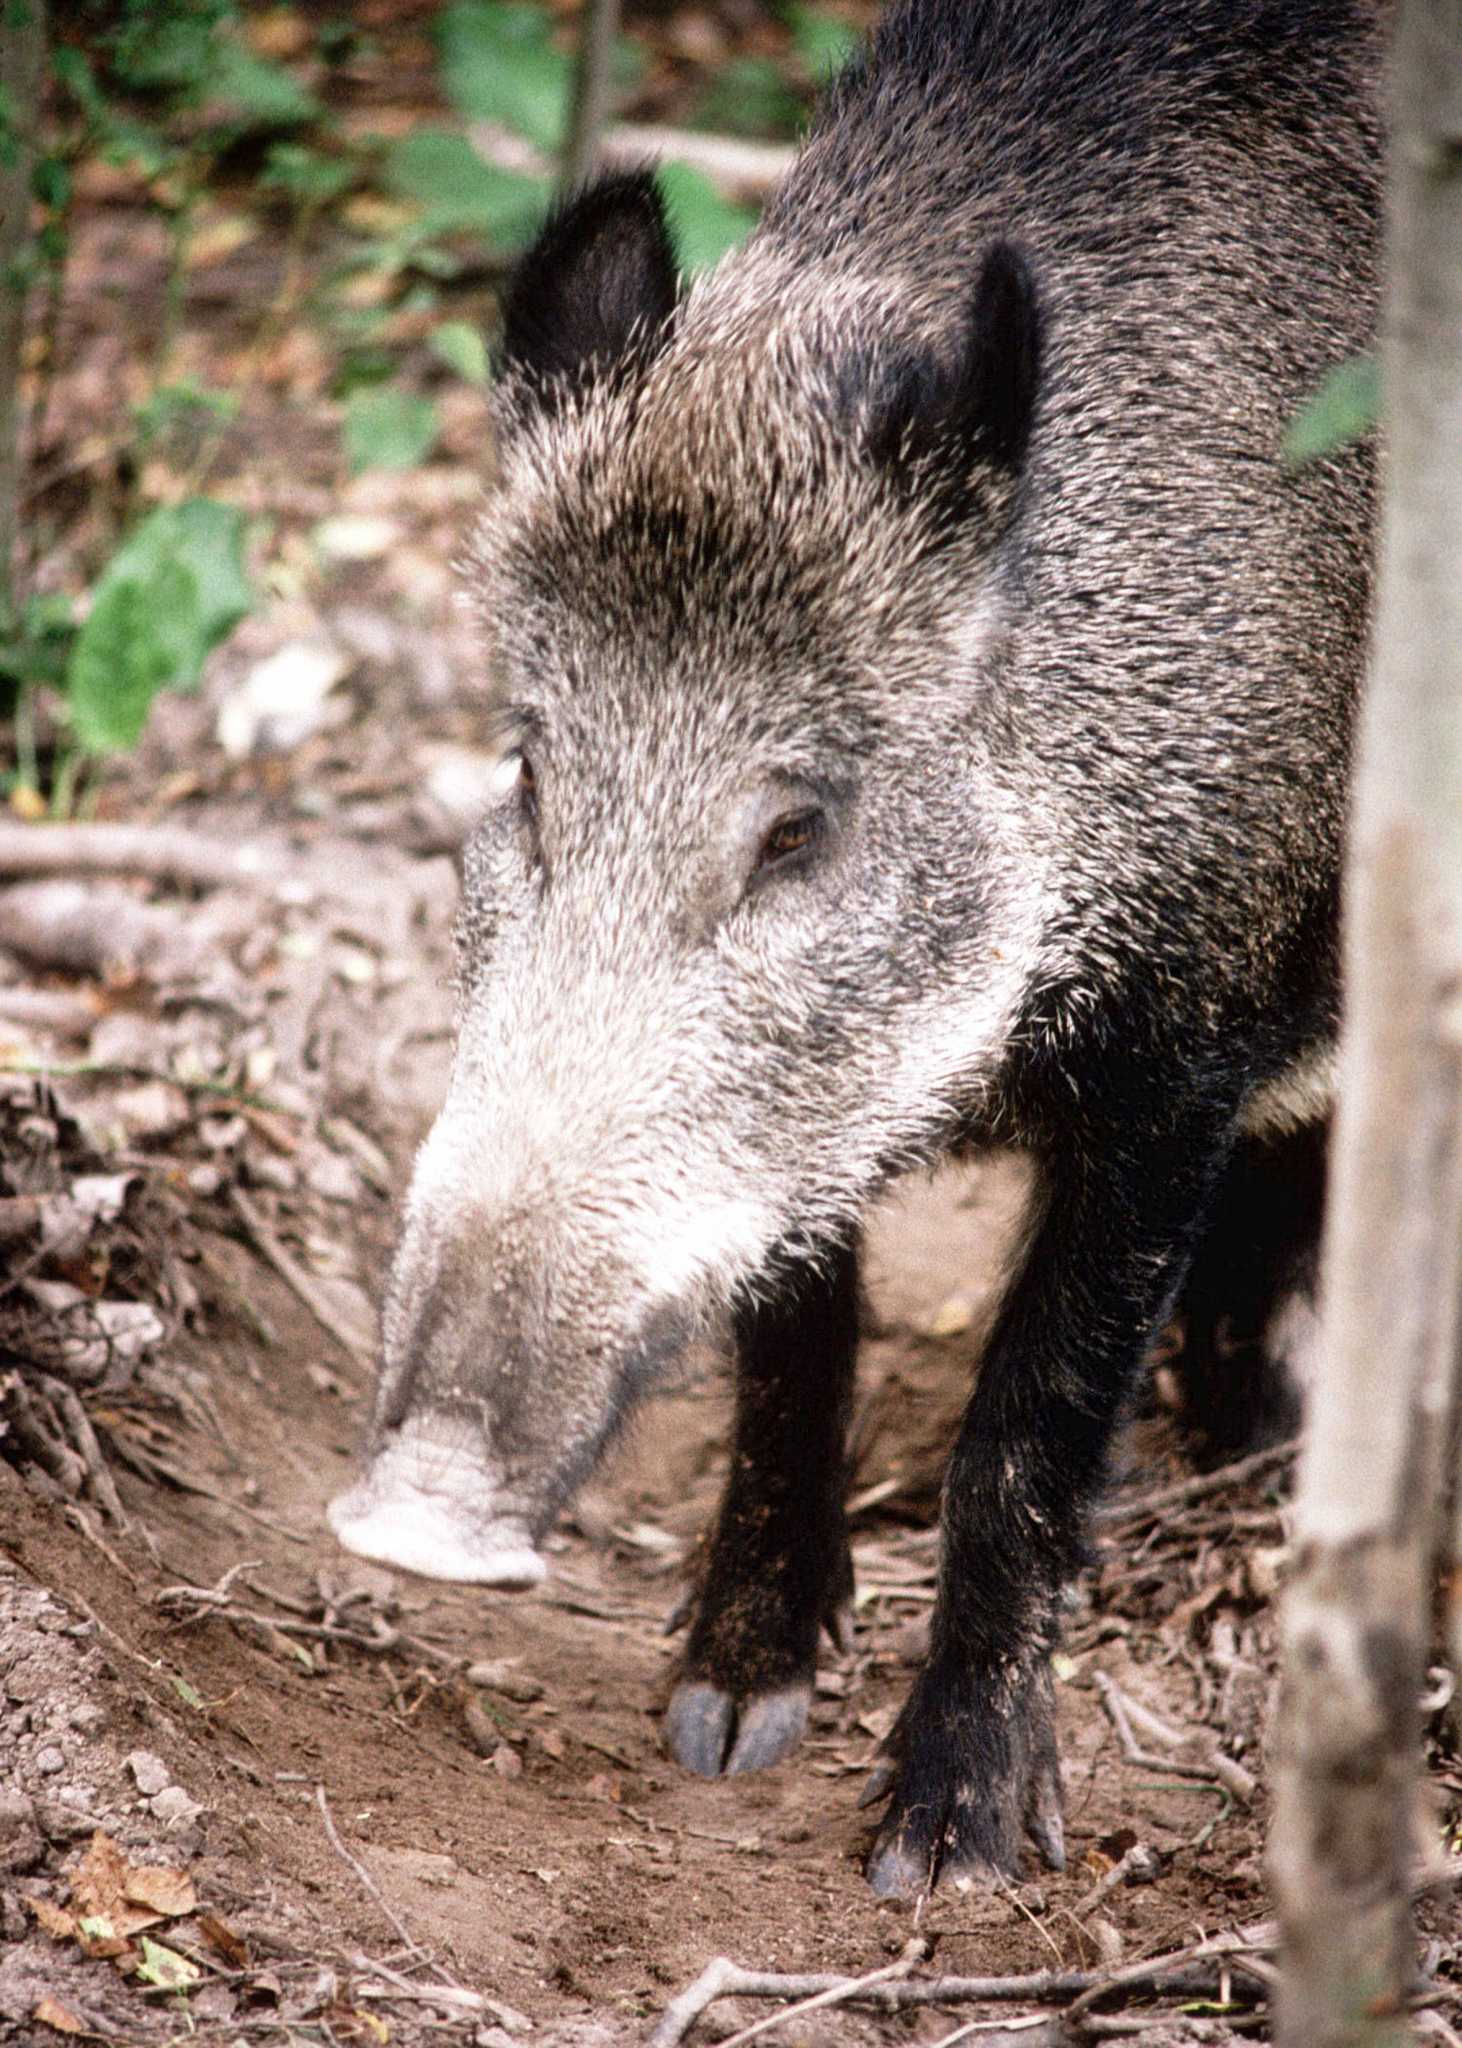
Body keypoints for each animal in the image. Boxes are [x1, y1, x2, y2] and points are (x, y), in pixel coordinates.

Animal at [329, 0, 1381, 1896]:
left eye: (797, 830)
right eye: (530, 771)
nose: (413, 1510)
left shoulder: (1179, 1048)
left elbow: (1026, 1422)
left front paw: (946, 1851)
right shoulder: (799, 1146)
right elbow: (789, 1348)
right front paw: (727, 1718)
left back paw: (1265, 1437)